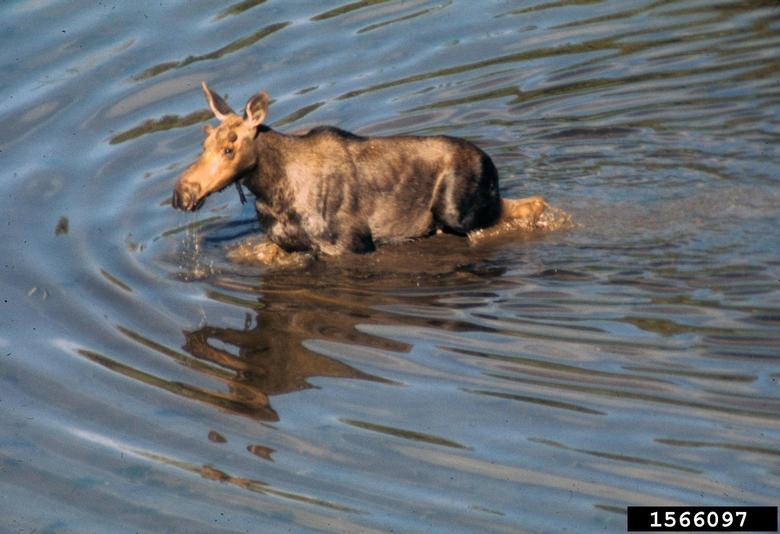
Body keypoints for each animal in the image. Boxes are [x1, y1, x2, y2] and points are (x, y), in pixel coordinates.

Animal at [172, 82, 548, 259]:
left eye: (230, 147)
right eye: (204, 140)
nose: (181, 193)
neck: (271, 190)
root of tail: (491, 165)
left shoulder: (350, 246)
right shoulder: (282, 245)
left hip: (458, 211)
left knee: (530, 205)